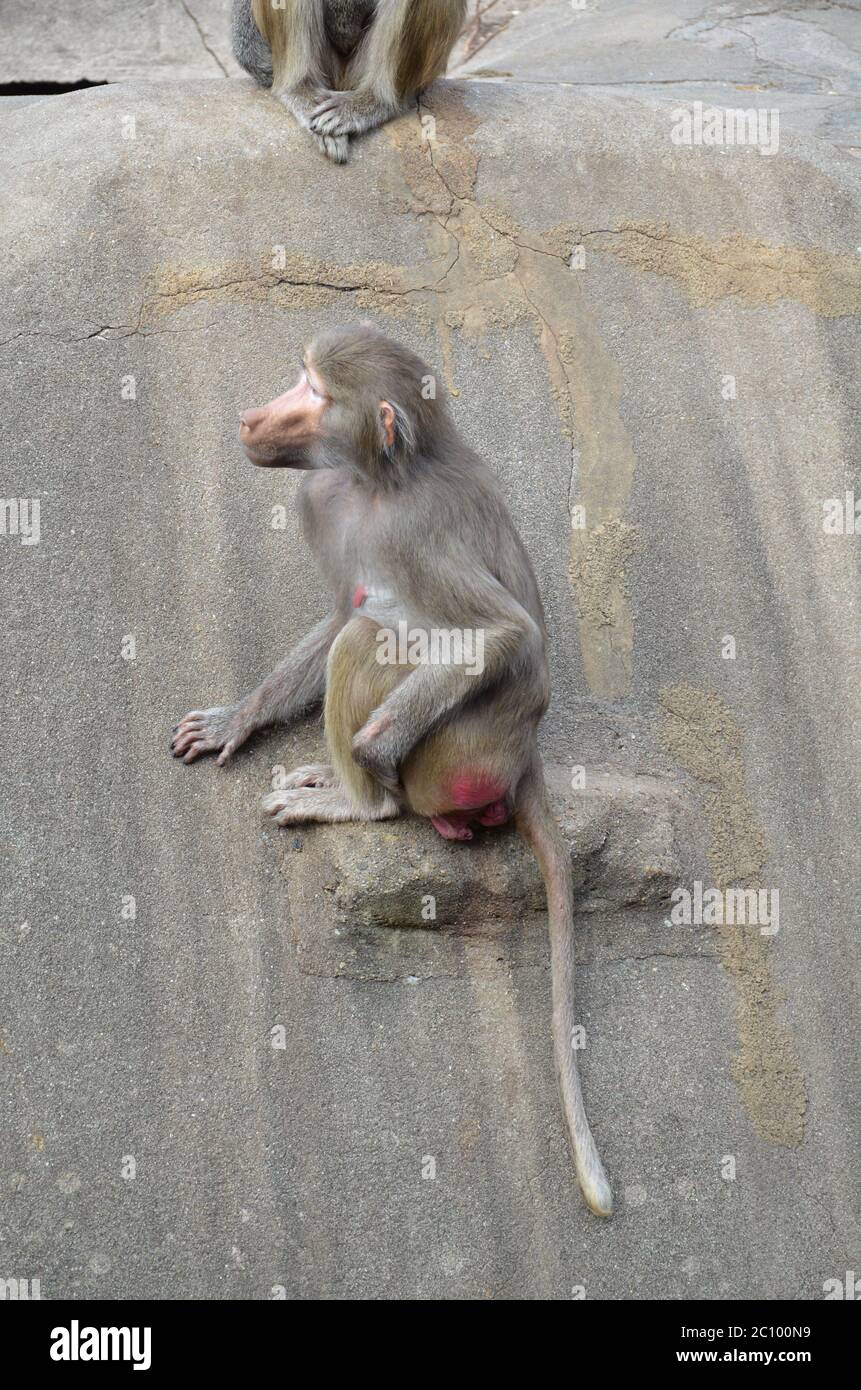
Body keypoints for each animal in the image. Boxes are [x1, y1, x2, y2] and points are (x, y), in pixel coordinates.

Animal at [170, 324, 613, 1217]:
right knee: (358, 623)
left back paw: (361, 800)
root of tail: (526, 760)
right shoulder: (322, 501)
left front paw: (371, 757)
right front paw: (238, 719)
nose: (250, 417)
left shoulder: (414, 530)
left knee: (374, 636)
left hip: (460, 755)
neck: (378, 479)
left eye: (313, 391)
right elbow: (335, 608)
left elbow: (501, 635)